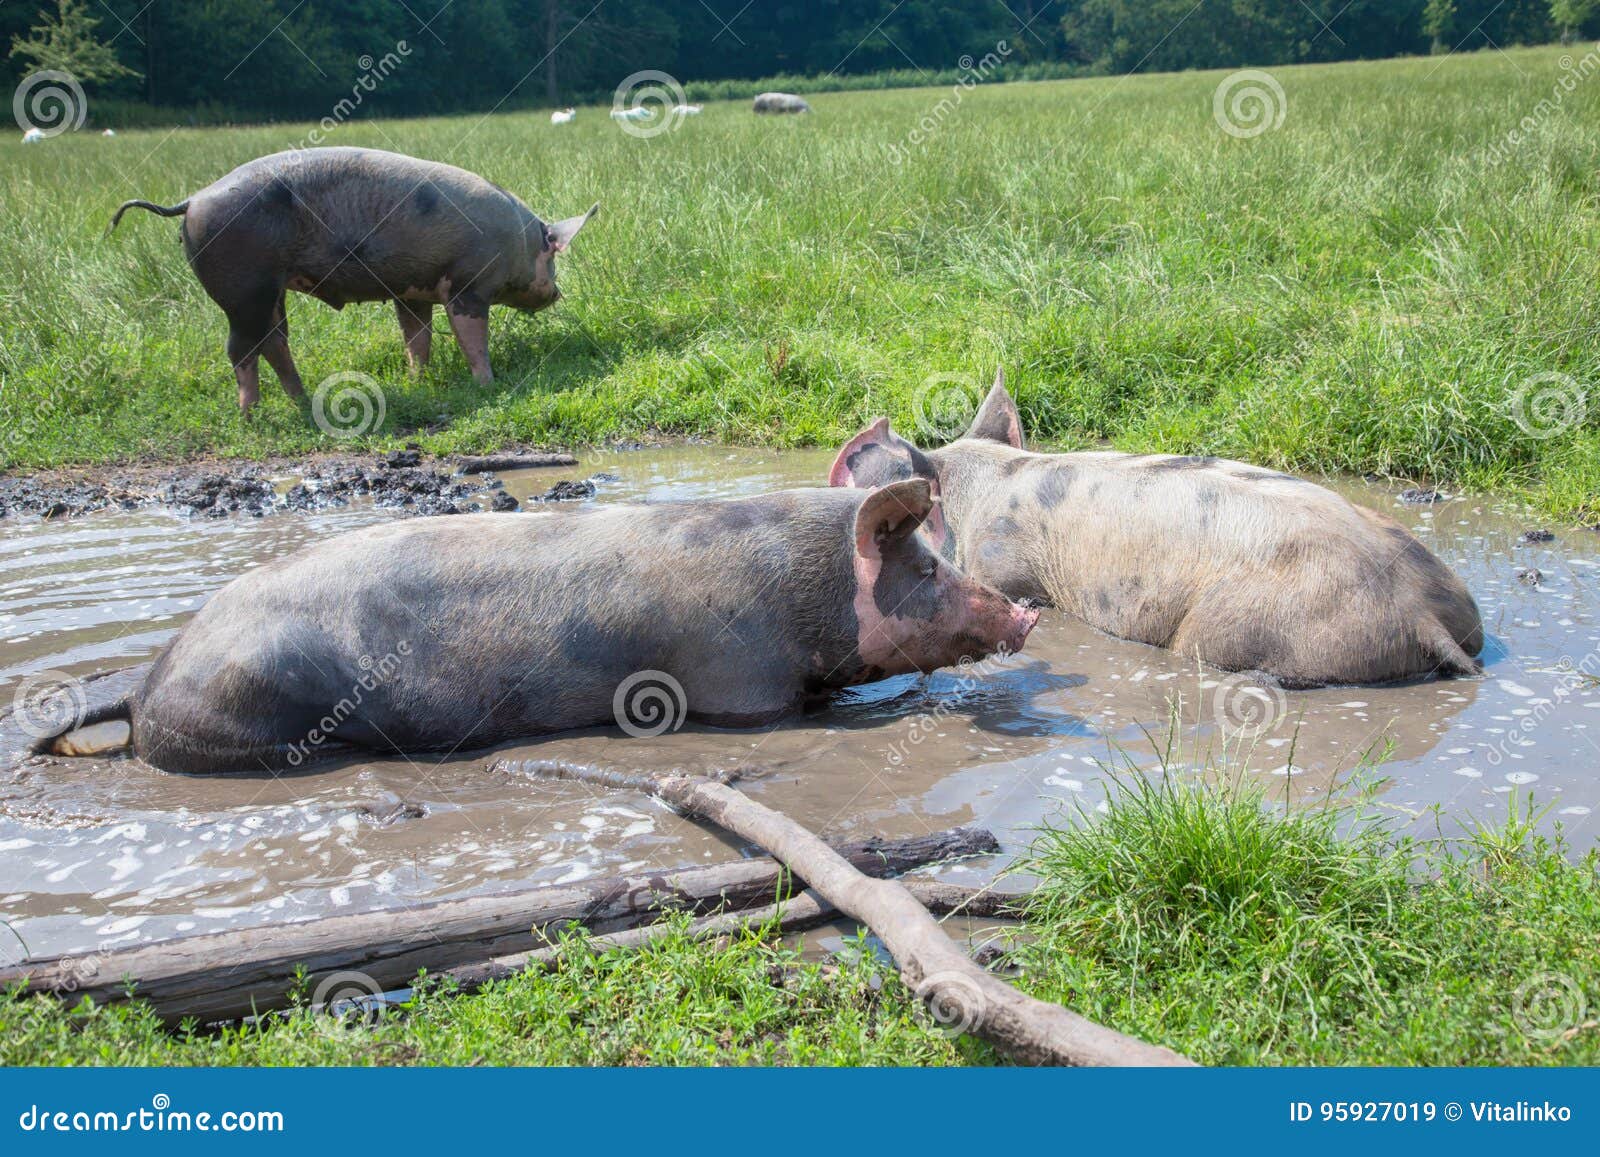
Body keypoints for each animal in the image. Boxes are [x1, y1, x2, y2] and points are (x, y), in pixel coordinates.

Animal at [110, 147, 597, 413]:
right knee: (241, 348)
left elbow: (417, 339)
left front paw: (417, 382)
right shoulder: (467, 286)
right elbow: (471, 338)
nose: (557, 292)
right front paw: (487, 384)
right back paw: (251, 415)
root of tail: (191, 200)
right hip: (243, 288)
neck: (515, 241)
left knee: (275, 341)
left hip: (270, 288)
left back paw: (300, 400)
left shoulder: (411, 291)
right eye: (552, 258)